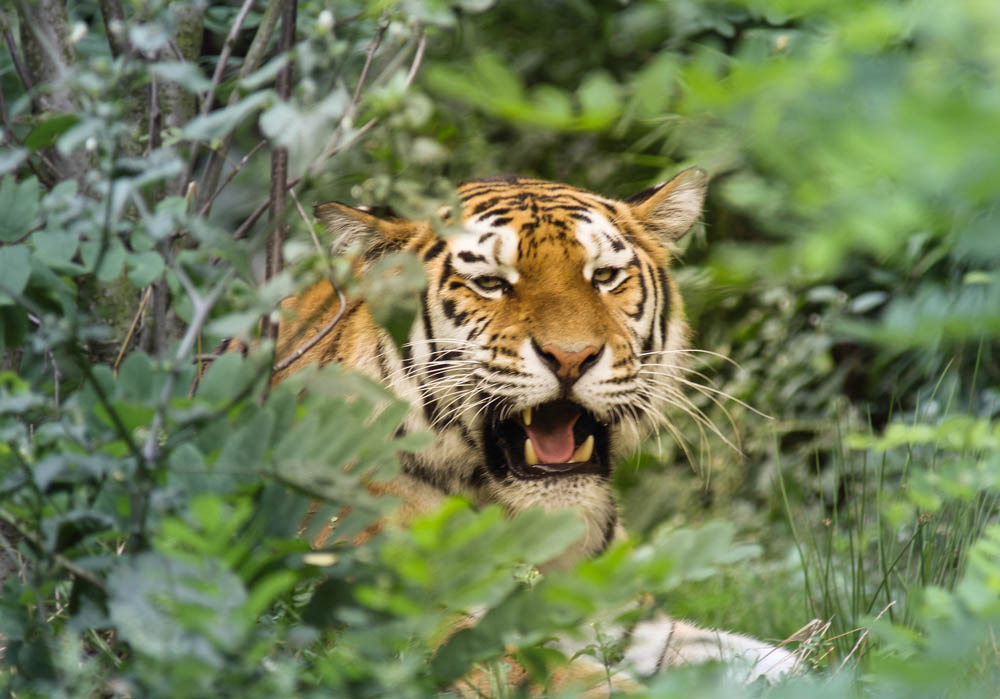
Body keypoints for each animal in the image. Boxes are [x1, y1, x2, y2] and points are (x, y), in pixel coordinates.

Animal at [271, 168, 800, 691]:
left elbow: (779, 661)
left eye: (604, 277)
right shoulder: (432, 632)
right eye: (489, 283)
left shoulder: (635, 630)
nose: (571, 357)